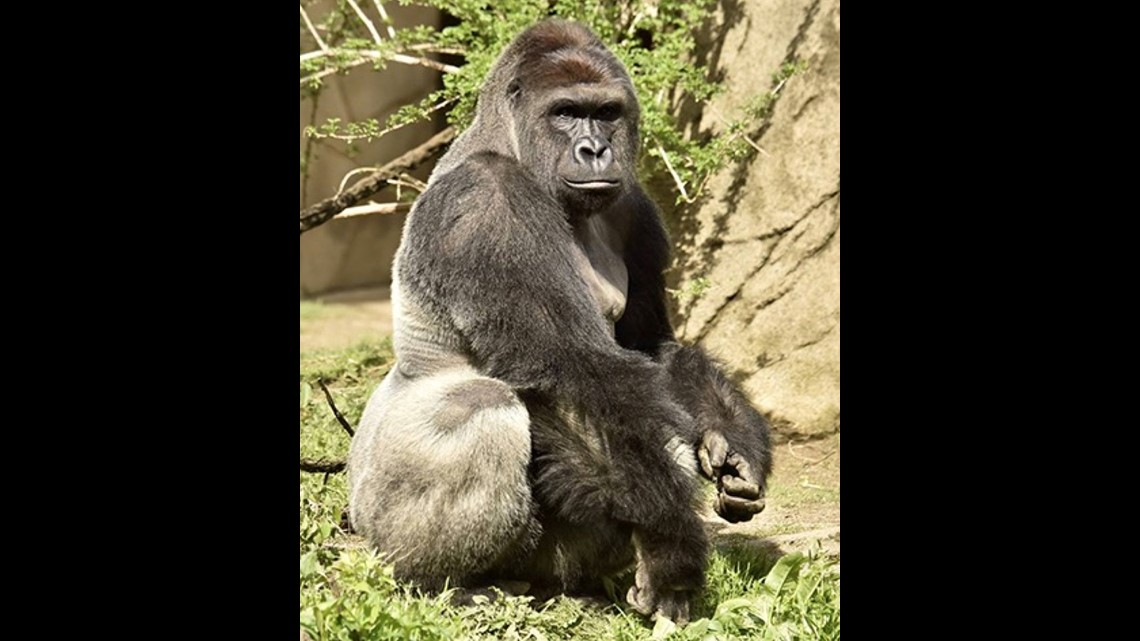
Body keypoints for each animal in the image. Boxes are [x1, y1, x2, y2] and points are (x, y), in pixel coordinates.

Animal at [347, 18, 772, 624]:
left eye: (607, 112)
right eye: (566, 111)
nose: (594, 149)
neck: (511, 144)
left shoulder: (633, 207)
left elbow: (649, 348)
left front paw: (731, 437)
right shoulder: (488, 203)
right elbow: (579, 368)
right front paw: (673, 546)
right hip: (375, 517)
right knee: (480, 407)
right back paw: (441, 582)